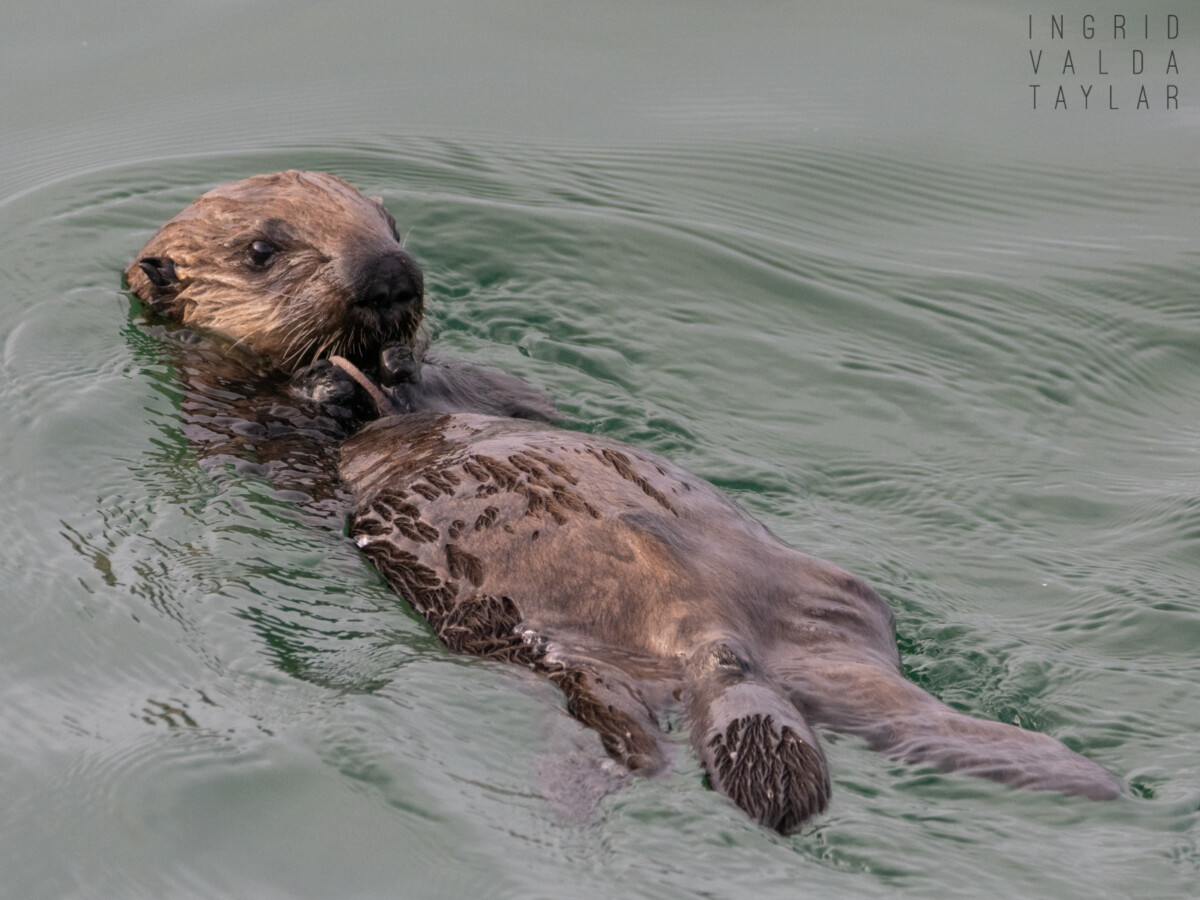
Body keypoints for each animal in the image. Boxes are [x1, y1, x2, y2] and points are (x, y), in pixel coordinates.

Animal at [127, 171, 1121, 833]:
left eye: (388, 220)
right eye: (263, 250)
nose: (390, 273)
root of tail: (716, 636)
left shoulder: (470, 387)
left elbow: (509, 398)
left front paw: (404, 363)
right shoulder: (233, 421)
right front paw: (335, 384)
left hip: (831, 620)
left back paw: (1063, 768)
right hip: (600, 668)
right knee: (639, 736)